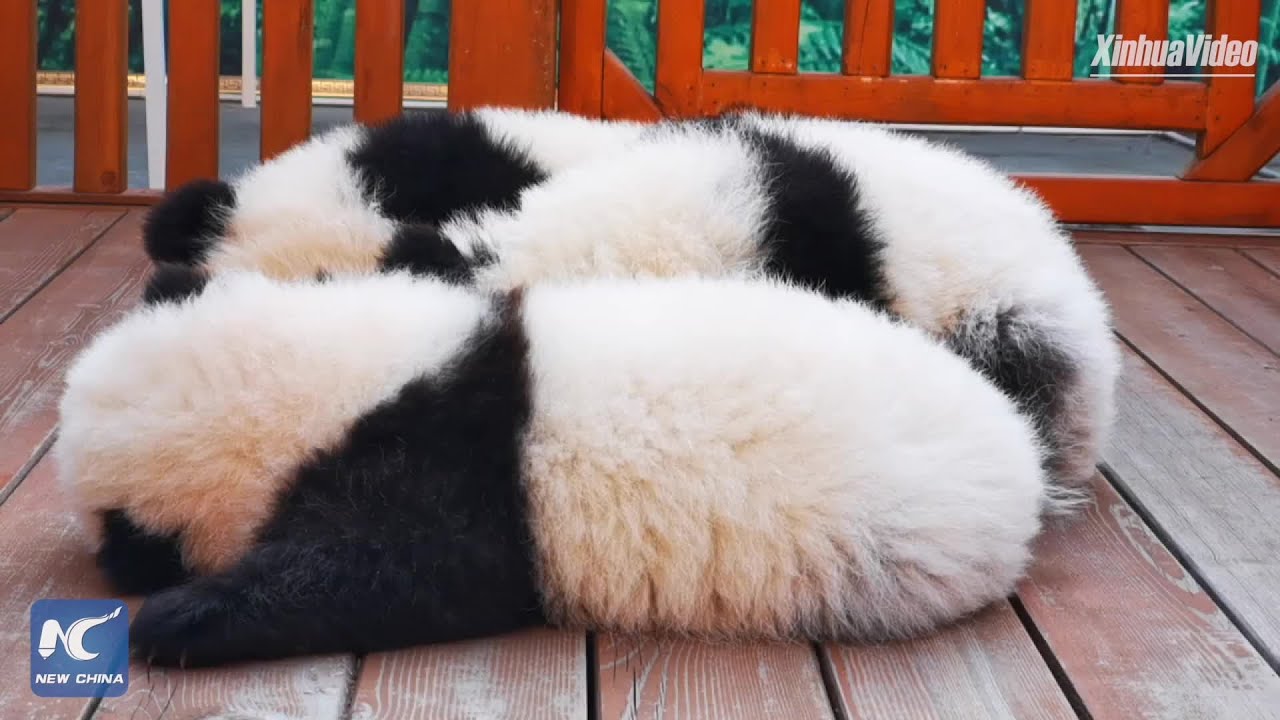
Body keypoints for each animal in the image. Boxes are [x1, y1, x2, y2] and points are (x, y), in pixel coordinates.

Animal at [58, 270, 1048, 668]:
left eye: (115, 527)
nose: (112, 560)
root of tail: (1019, 455)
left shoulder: (446, 461)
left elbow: (406, 572)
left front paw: (179, 619)